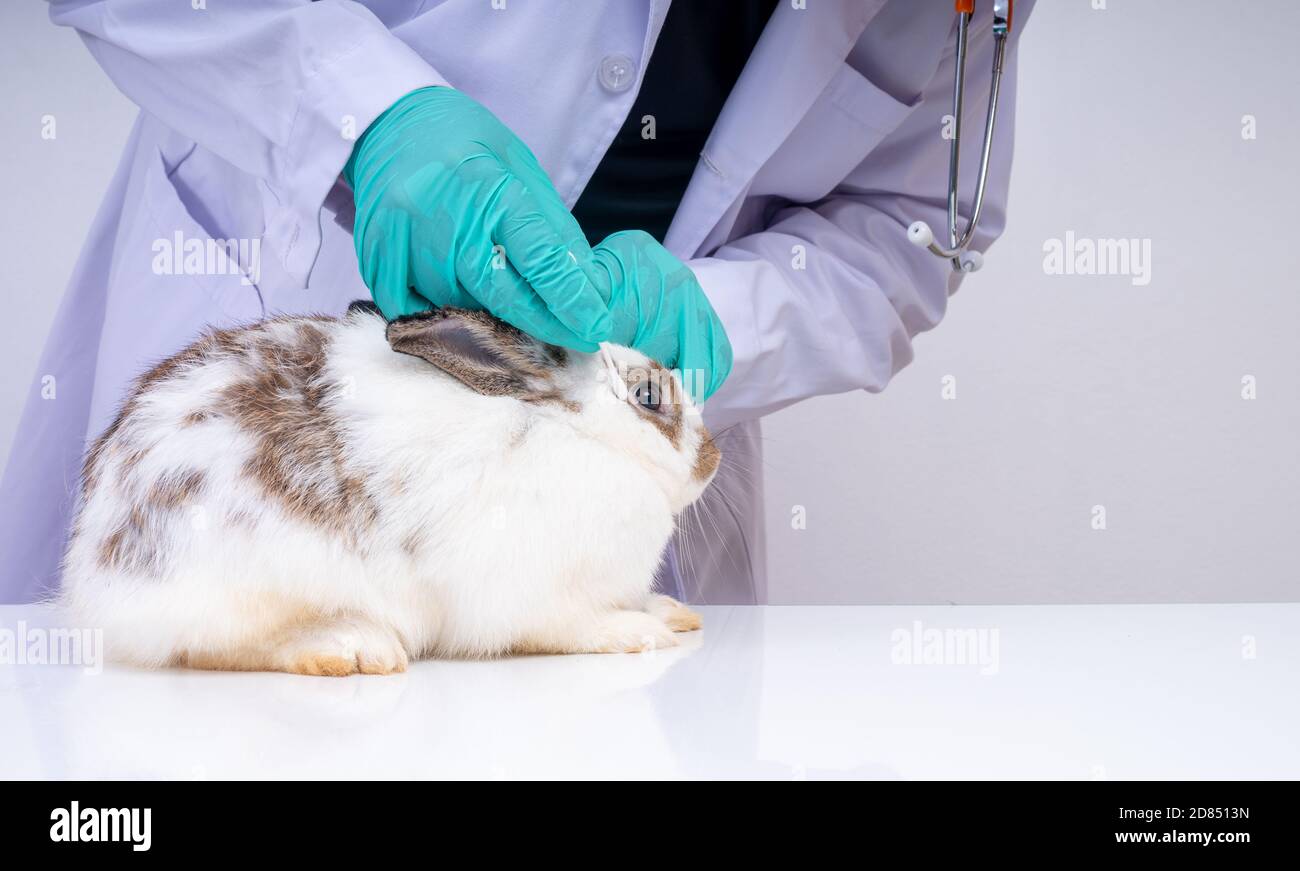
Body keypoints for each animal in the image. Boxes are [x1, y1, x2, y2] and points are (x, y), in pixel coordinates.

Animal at [59, 302, 720, 676]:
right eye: (648, 396)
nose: (712, 459)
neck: (580, 434)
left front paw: (669, 612)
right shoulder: (530, 596)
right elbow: (570, 625)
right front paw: (637, 633)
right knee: (215, 647)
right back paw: (352, 648)